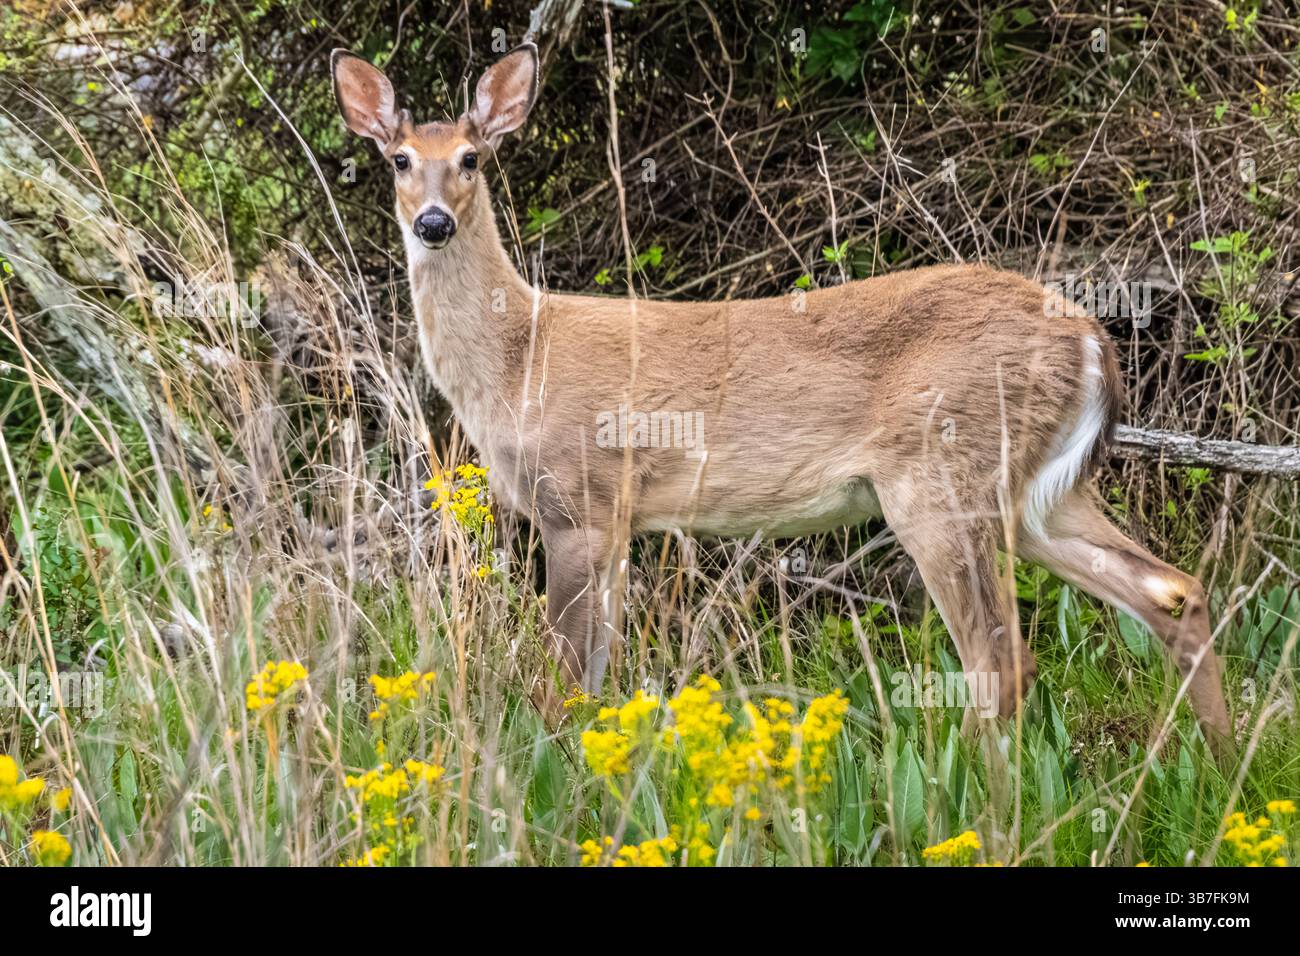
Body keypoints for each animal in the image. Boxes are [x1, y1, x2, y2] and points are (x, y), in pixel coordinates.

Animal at [330, 42, 1234, 757]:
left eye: (472, 158)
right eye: (399, 159)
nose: (435, 222)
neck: (520, 357)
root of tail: (1091, 339)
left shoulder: (580, 498)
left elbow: (563, 686)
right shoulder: (619, 520)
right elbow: (601, 682)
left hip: (943, 473)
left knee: (999, 659)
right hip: (1039, 491)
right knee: (1172, 590)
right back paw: (1222, 773)